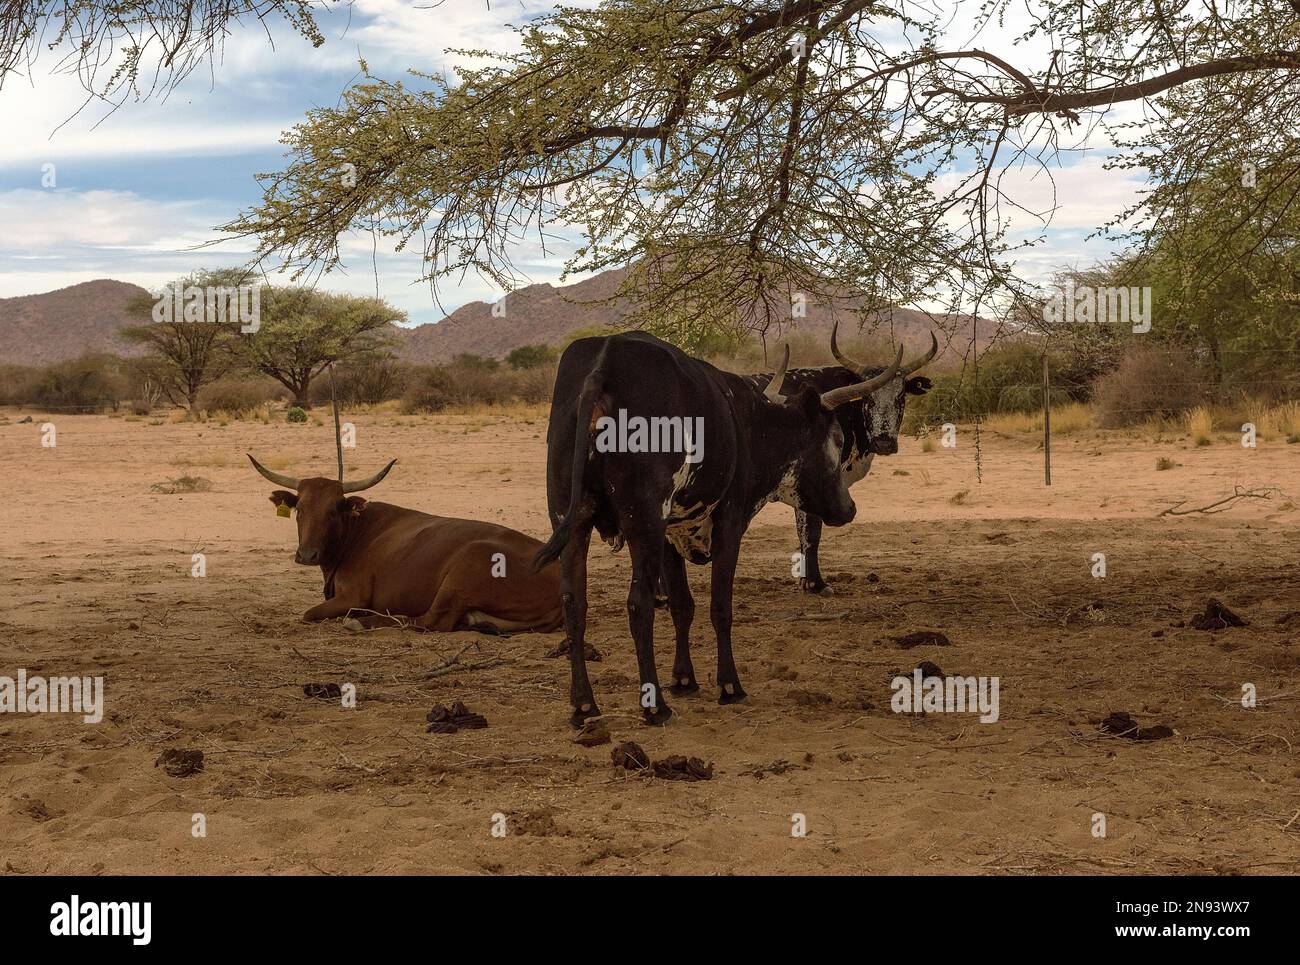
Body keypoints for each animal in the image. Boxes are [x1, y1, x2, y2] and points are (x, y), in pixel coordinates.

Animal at [247, 455, 566, 635]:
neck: (356, 531)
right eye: (299, 509)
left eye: (333, 512)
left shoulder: (353, 597)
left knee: (430, 622)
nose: (307, 554)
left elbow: (309, 614)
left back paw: (361, 623)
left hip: (466, 565)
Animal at [533, 330, 906, 727]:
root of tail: (604, 364)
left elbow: (683, 606)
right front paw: (729, 685)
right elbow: (720, 607)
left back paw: (584, 706)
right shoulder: (728, 524)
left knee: (574, 605)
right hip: (643, 522)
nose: (848, 508)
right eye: (835, 439)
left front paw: (684, 679)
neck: (748, 424)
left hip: (570, 522)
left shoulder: (671, 535)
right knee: (638, 605)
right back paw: (654, 707)